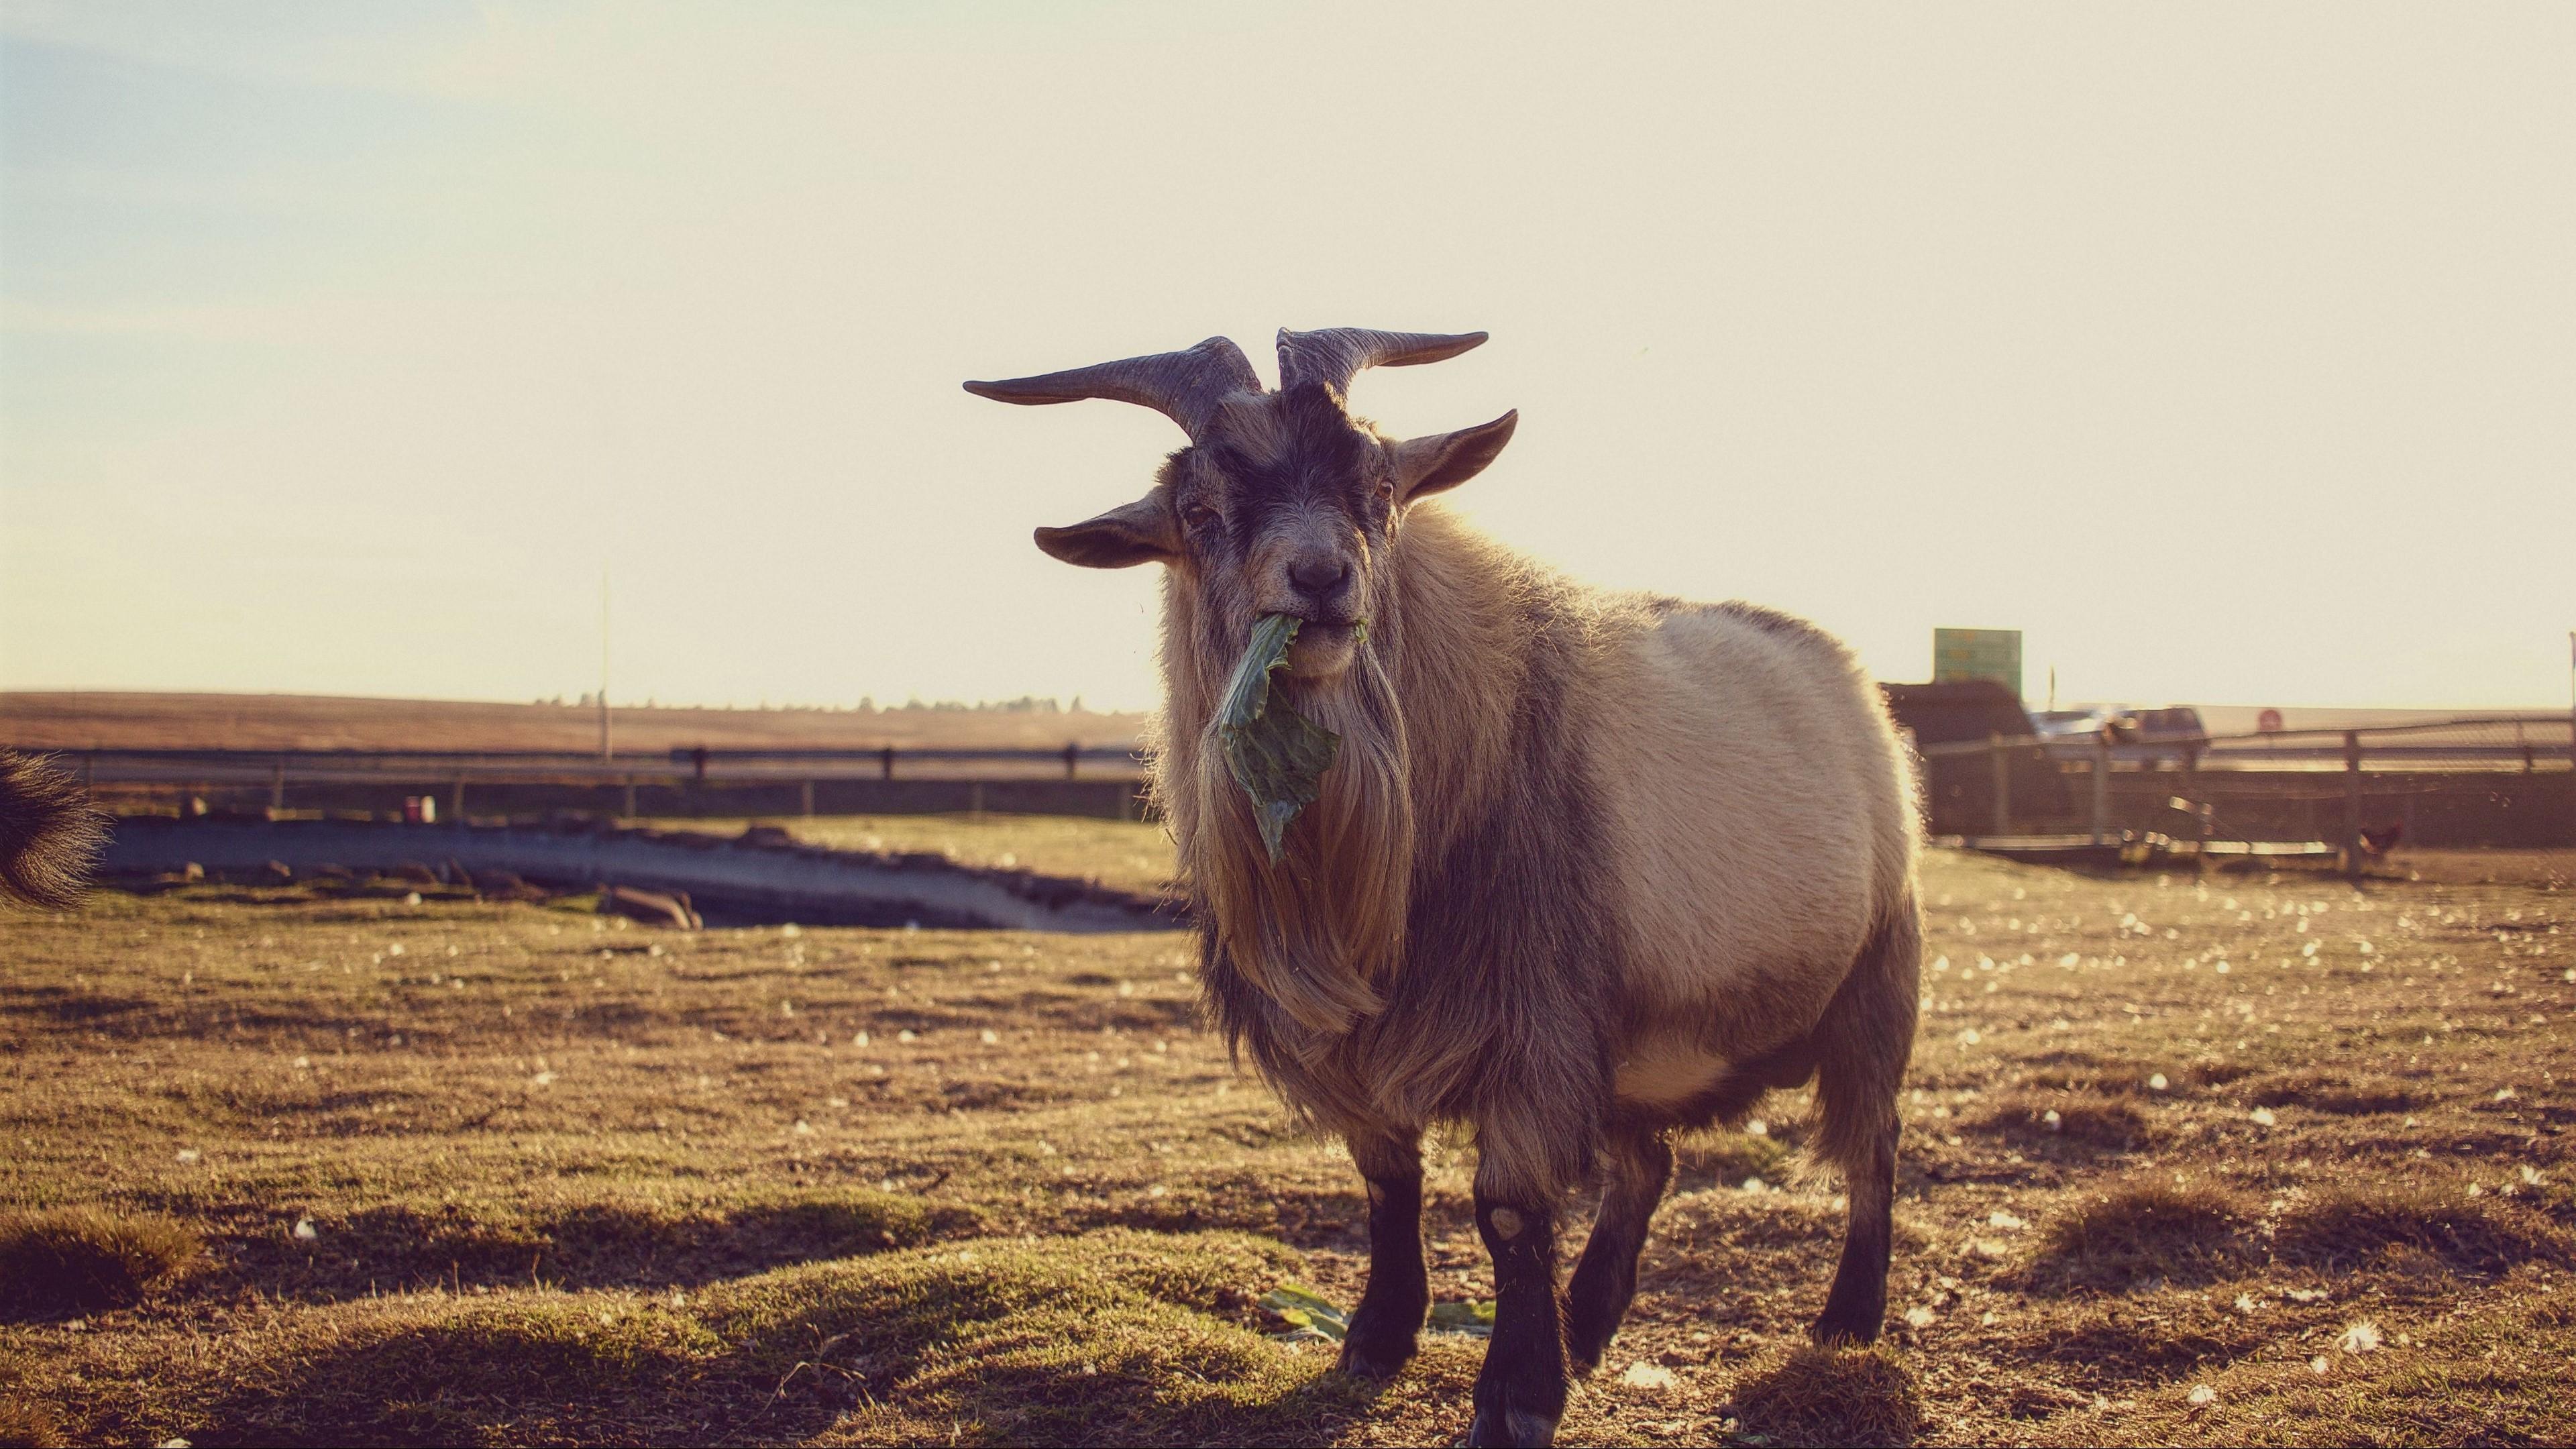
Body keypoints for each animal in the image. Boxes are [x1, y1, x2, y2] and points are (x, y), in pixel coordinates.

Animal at [969, 329, 1920, 1448]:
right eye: (1198, 510)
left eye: (1380, 486)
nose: (1322, 577)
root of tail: (1849, 677)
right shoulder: (1379, 1042)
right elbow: (1387, 1181)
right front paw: (1378, 1340)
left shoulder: (1534, 1023)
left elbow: (1507, 1208)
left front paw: (1517, 1395)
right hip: (1640, 1032)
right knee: (1648, 1164)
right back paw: (1591, 1322)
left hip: (1874, 981)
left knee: (1872, 1148)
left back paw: (1847, 1319)